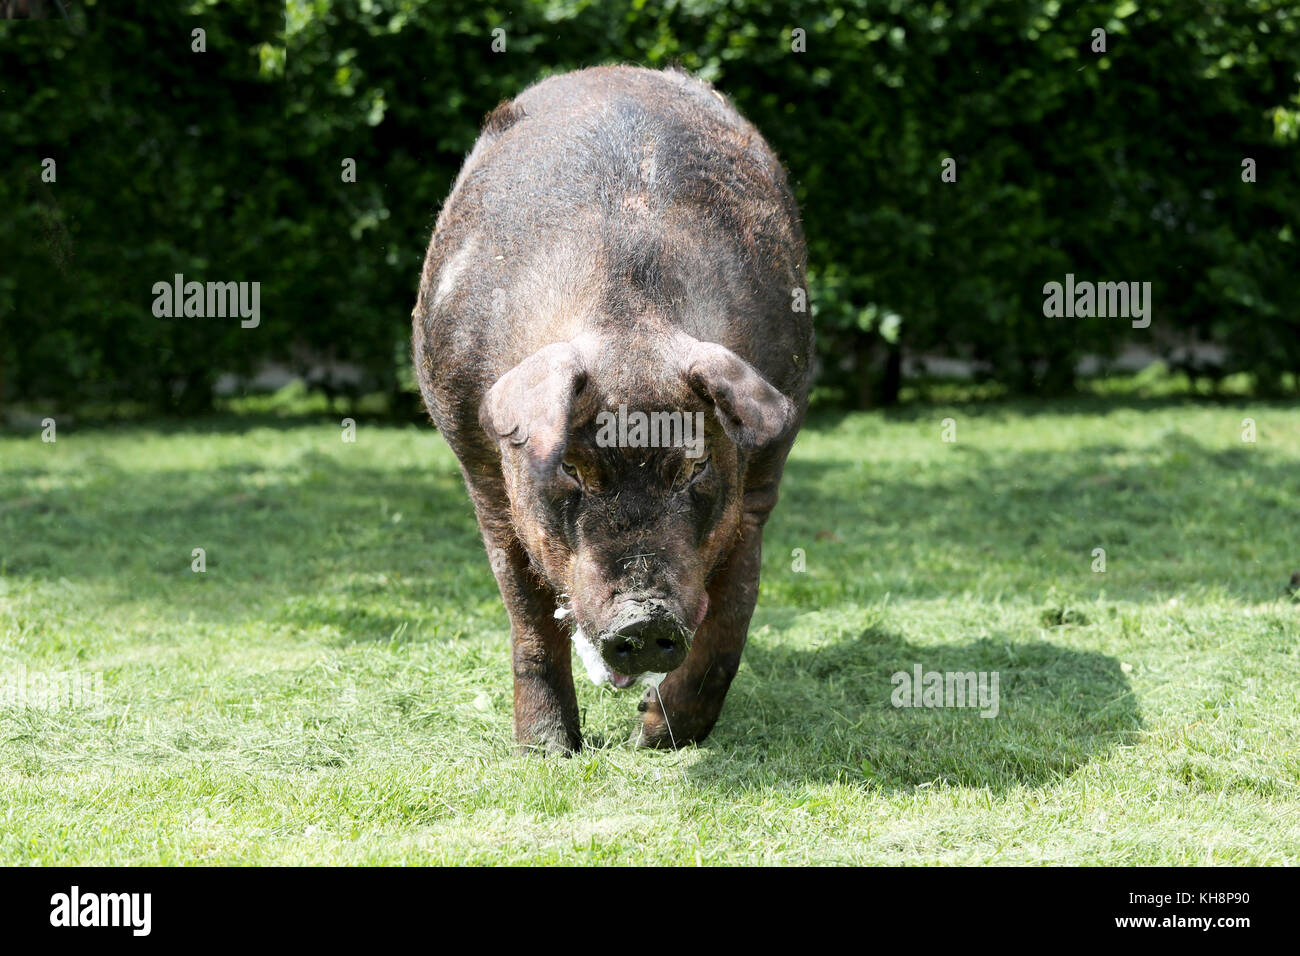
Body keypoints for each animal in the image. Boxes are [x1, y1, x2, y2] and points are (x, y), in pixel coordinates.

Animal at [412, 65, 811, 754]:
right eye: (572, 469)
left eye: (694, 467)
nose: (644, 620)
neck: (629, 324)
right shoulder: (482, 472)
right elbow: (530, 622)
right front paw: (546, 752)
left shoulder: (762, 470)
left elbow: (732, 618)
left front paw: (652, 740)